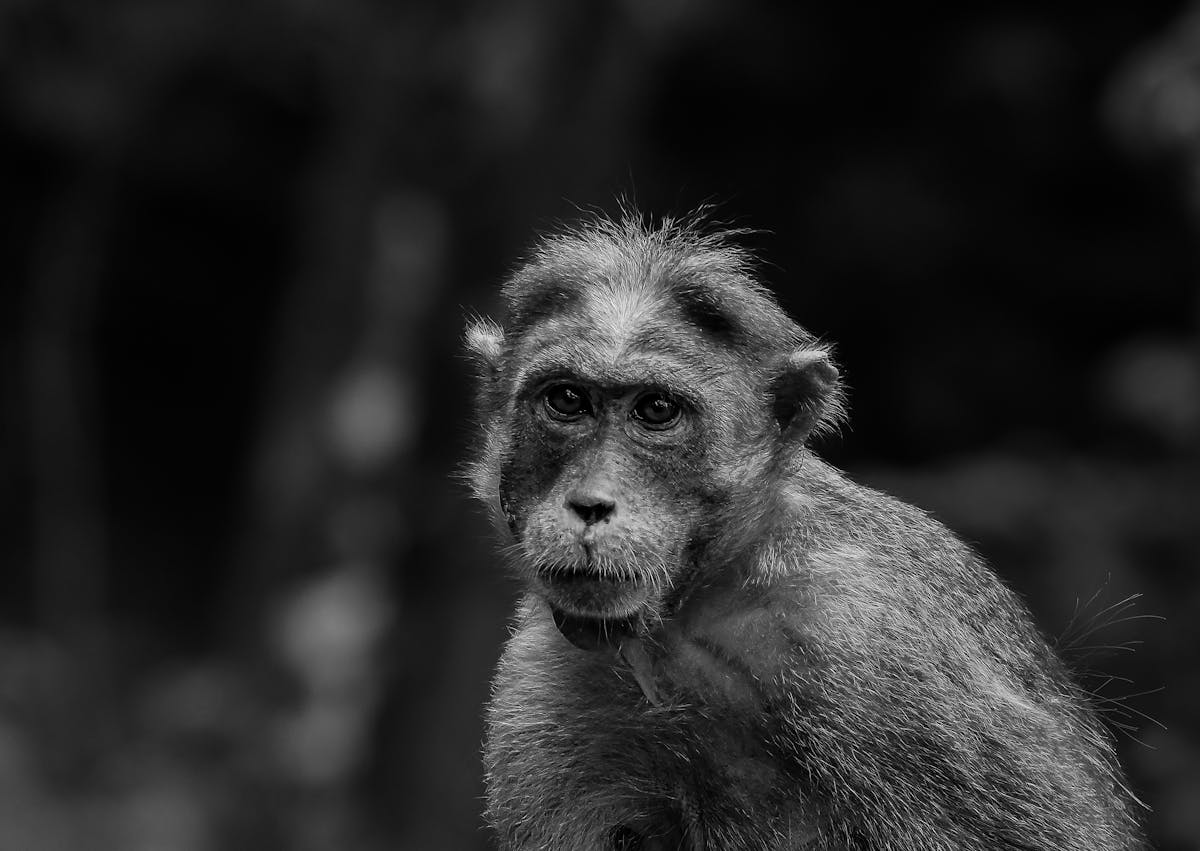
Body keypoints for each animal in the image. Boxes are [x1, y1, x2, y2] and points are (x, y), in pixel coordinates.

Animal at [464, 211, 1146, 850]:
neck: (696, 611)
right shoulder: (538, 692)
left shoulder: (865, 642)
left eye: (656, 410)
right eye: (566, 401)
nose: (591, 503)